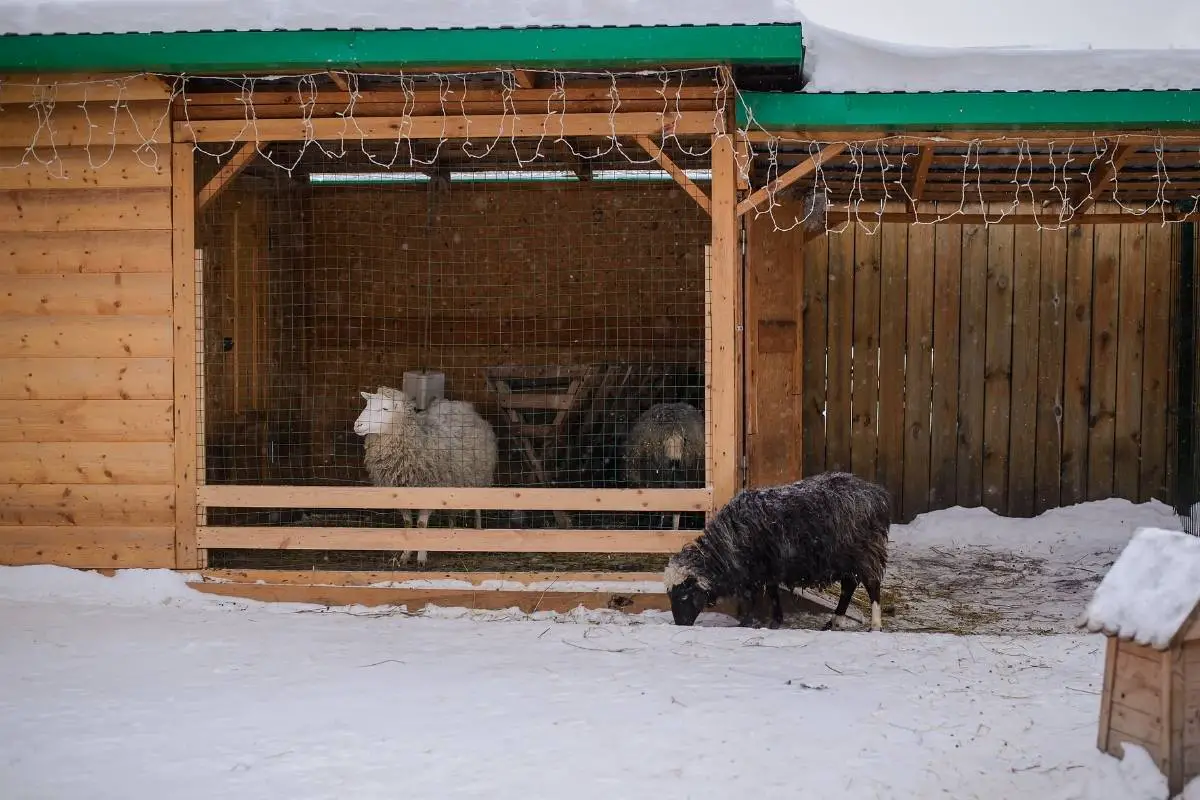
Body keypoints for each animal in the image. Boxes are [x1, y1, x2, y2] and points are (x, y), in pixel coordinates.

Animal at [352, 386, 499, 565]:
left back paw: (478, 531)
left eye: (385, 408)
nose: (357, 425)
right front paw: (405, 555)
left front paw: (421, 558)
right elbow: (408, 523)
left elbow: (421, 524)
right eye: (367, 405)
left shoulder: (429, 488)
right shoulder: (400, 493)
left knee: (477, 507)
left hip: (479, 477)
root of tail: (459, 404)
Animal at [663, 471, 890, 631]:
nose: (681, 624)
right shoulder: (769, 569)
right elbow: (772, 593)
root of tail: (876, 496)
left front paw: (747, 622)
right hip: (845, 559)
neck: (727, 546)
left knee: (872, 585)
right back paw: (833, 621)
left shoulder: (758, 570)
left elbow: (753, 597)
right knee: (848, 586)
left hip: (865, 552)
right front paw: (775, 620)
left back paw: (875, 625)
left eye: (685, 596)